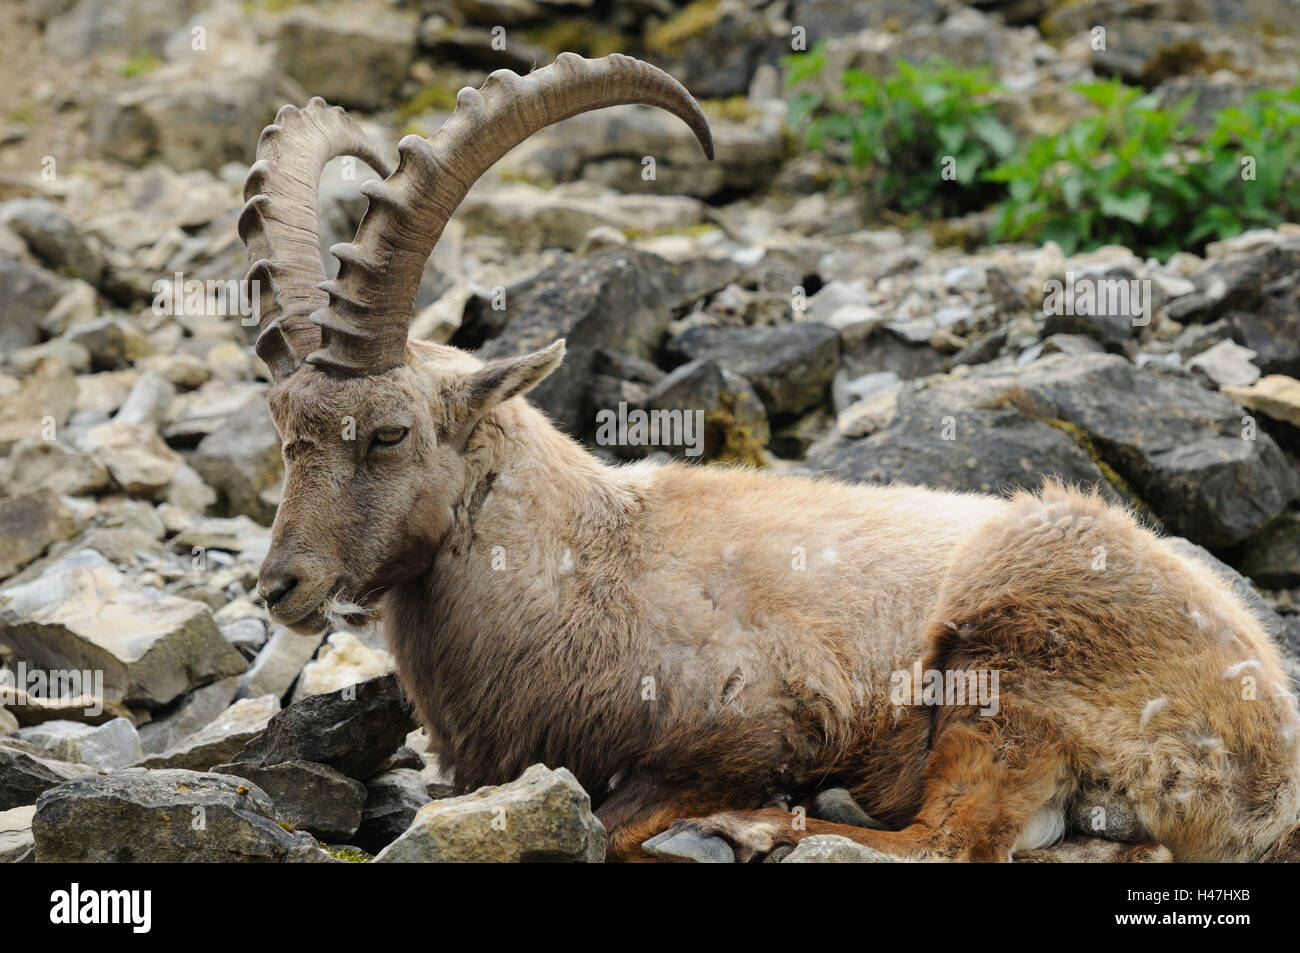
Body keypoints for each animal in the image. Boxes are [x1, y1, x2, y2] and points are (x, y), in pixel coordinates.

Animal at [240, 53, 1300, 862]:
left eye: (389, 432)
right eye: (281, 421)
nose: (280, 586)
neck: (588, 563)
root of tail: (1264, 751)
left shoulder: (760, 719)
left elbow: (628, 814)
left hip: (1007, 655)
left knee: (946, 840)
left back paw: (761, 827)